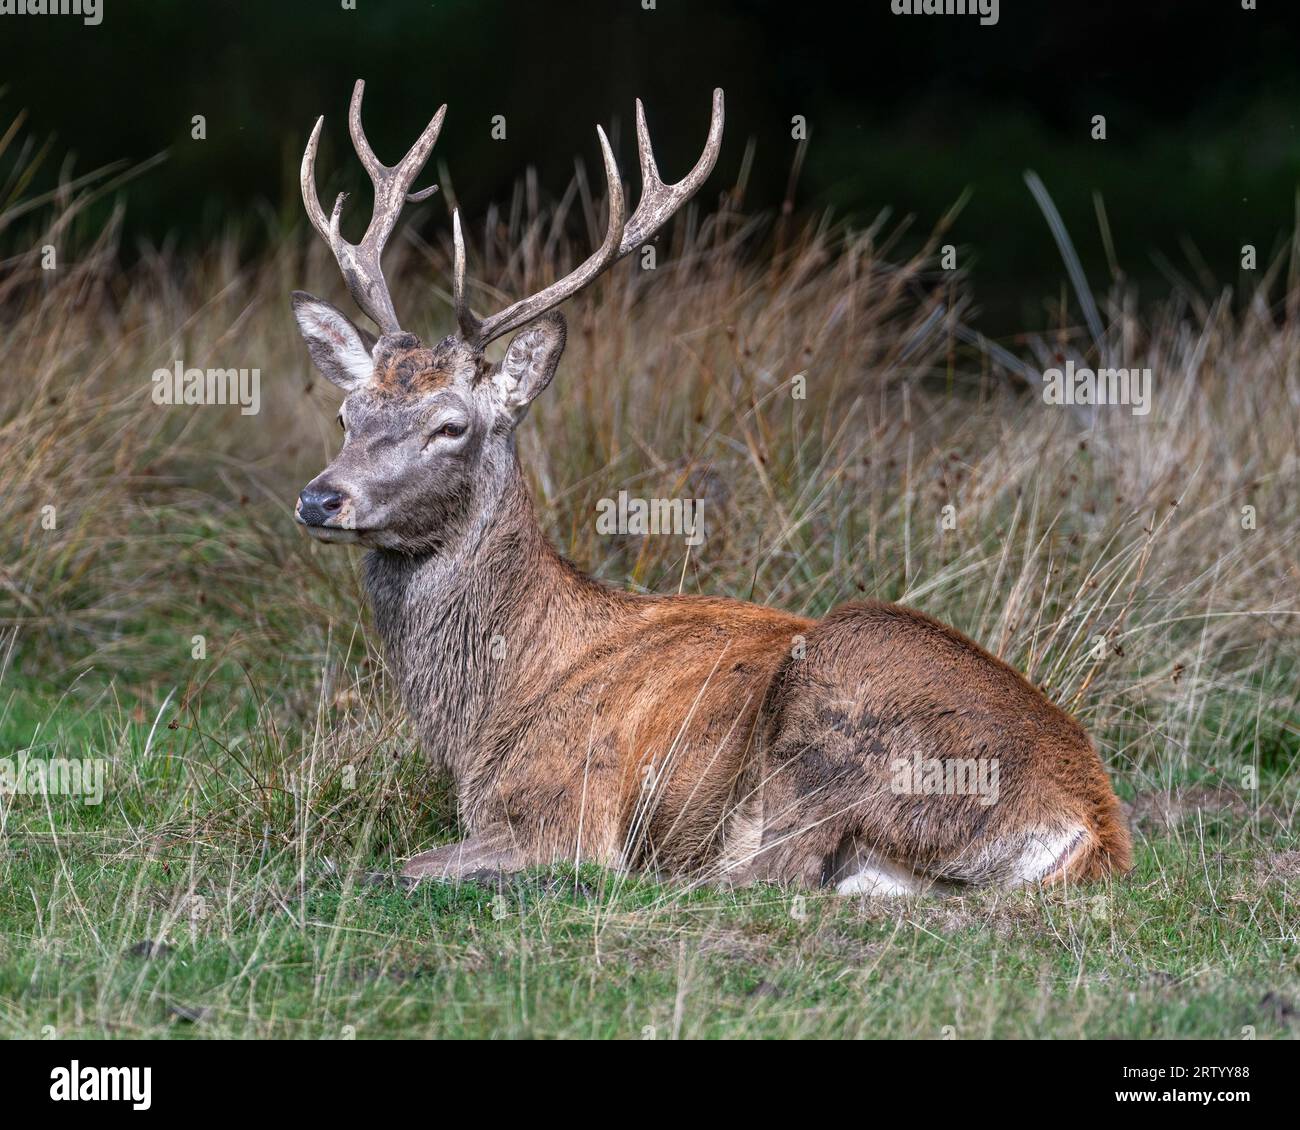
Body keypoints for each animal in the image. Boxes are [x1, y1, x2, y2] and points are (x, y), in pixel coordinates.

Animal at [290, 81, 1132, 895]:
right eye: (346, 412)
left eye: (451, 425)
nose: (320, 498)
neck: (491, 708)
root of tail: (1090, 824)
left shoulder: (568, 813)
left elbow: (391, 863)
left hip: (836, 724)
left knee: (768, 875)